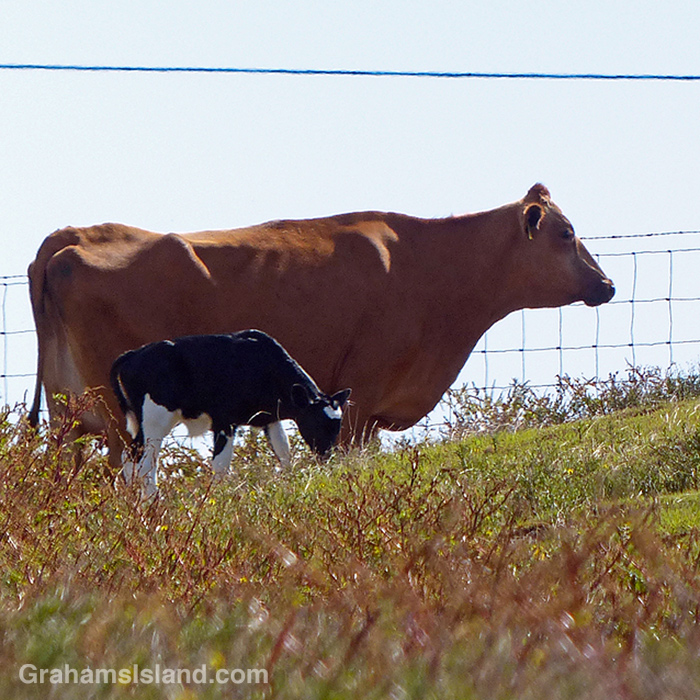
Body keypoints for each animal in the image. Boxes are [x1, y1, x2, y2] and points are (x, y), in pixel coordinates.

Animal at [27, 184, 614, 468]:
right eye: (566, 233)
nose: (607, 285)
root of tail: (69, 236)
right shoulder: (359, 402)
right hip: (119, 417)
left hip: (69, 415)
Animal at [110, 329, 352, 494]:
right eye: (317, 422)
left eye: (337, 425)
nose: (326, 456)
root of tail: (132, 355)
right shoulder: (224, 422)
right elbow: (220, 466)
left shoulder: (269, 419)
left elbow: (284, 453)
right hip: (155, 421)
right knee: (145, 464)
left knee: (129, 457)